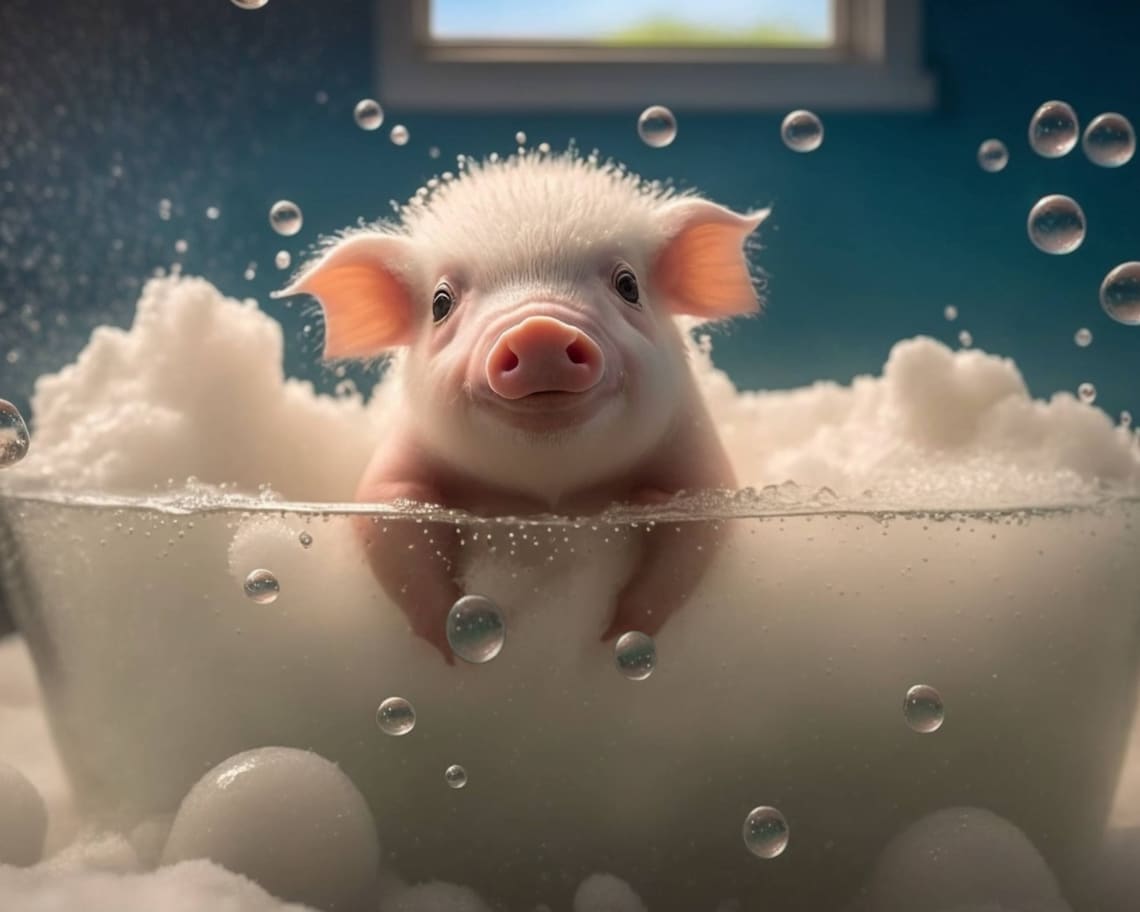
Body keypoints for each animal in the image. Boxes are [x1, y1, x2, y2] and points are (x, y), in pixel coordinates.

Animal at [276, 151, 767, 662]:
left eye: (628, 285)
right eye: (440, 302)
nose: (539, 331)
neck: (547, 501)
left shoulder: (697, 461)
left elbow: (695, 534)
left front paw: (613, 636)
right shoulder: (397, 466)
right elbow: (389, 521)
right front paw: (457, 650)